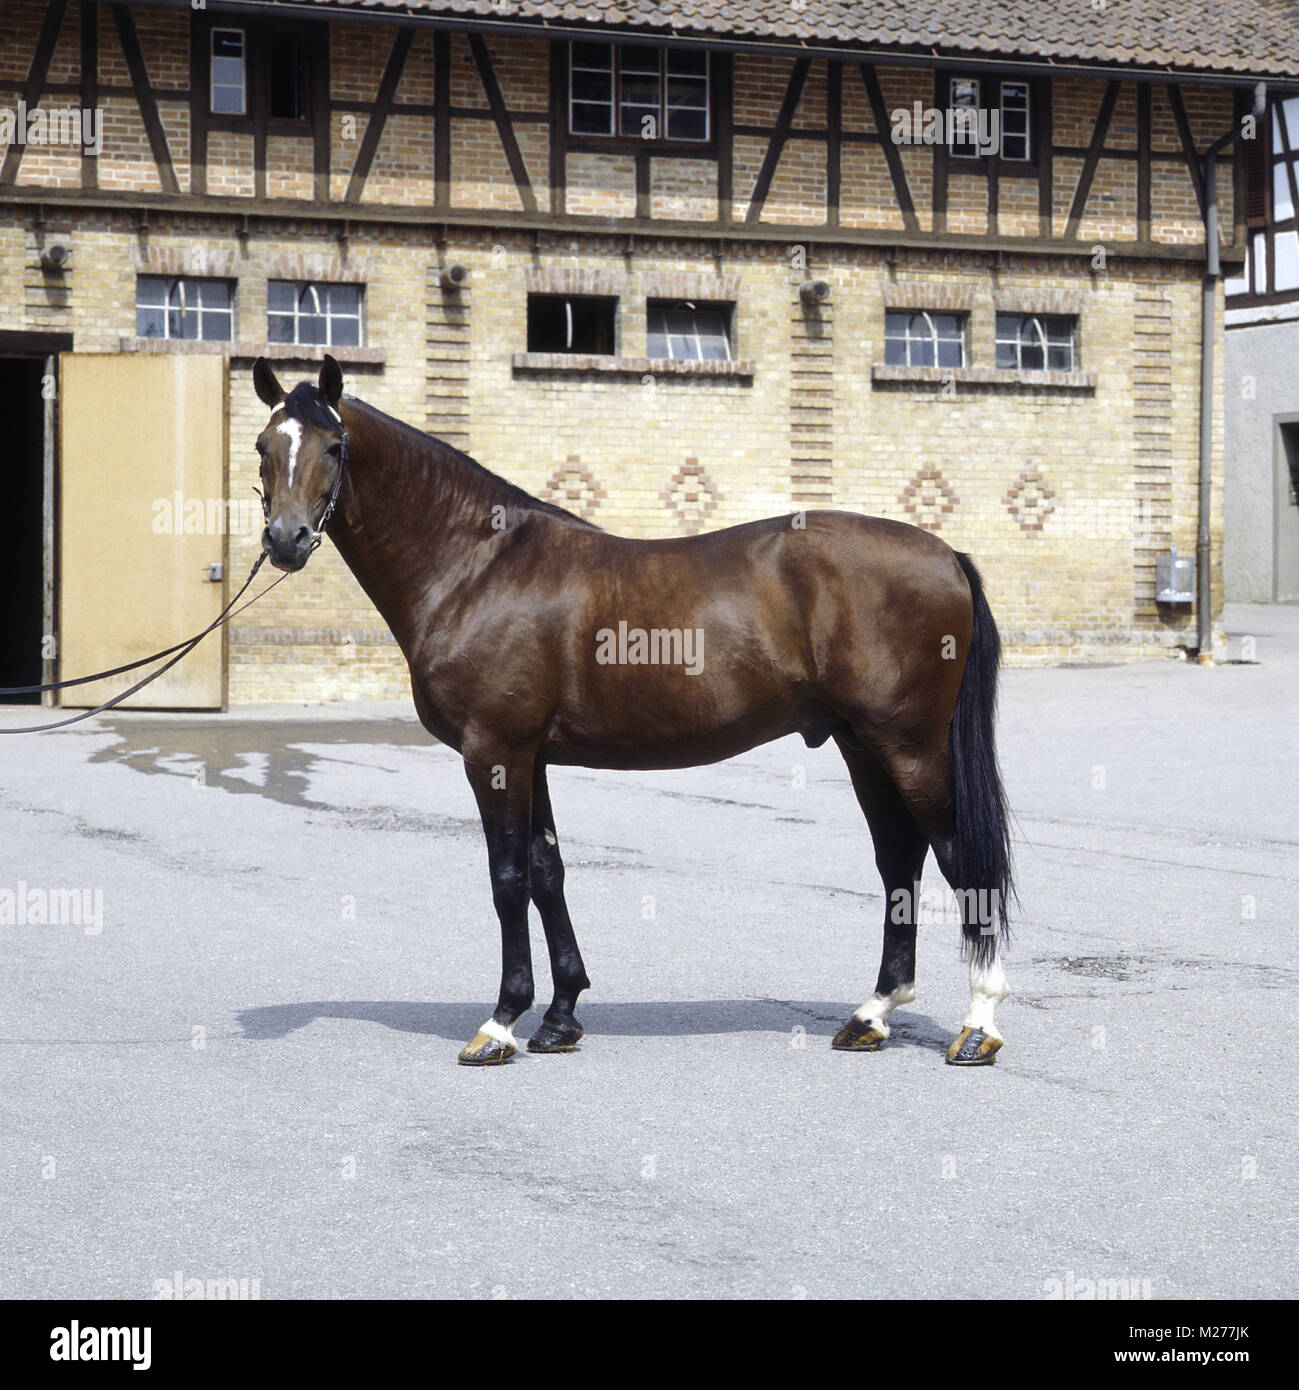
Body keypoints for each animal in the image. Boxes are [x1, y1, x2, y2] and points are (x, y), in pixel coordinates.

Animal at [252, 355, 1014, 1068]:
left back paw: (977, 1027)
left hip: (909, 746)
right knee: (898, 860)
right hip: (863, 745)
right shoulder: (530, 757)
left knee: (958, 859)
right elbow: (547, 873)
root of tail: (946, 553)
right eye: (263, 445)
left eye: (335, 447)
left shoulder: (494, 753)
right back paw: (872, 1014)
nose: (285, 541)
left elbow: (508, 879)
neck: (476, 567)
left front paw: (501, 1023)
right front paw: (559, 1017)